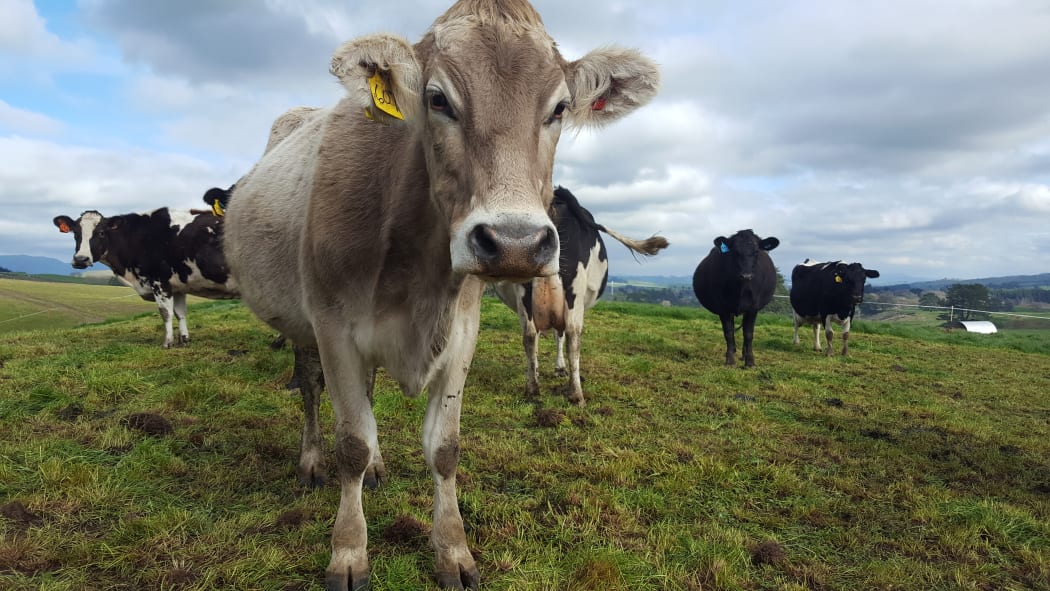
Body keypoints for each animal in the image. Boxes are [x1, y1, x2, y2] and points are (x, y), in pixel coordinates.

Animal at [52, 208, 238, 348]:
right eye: (75, 233)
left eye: (101, 232)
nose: (80, 259)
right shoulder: (177, 286)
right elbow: (180, 313)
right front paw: (184, 340)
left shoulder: (159, 281)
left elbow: (165, 313)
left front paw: (167, 343)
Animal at [494, 186, 667, 406]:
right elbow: (559, 335)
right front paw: (559, 368)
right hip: (574, 290)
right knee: (573, 336)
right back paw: (576, 393)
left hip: (526, 287)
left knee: (530, 335)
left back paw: (533, 389)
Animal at [692, 229, 780, 367]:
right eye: (735, 251)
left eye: (756, 251)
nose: (746, 275)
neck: (741, 288)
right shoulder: (723, 308)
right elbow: (728, 332)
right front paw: (730, 360)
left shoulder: (753, 308)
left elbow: (748, 334)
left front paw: (750, 362)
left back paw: (743, 354)